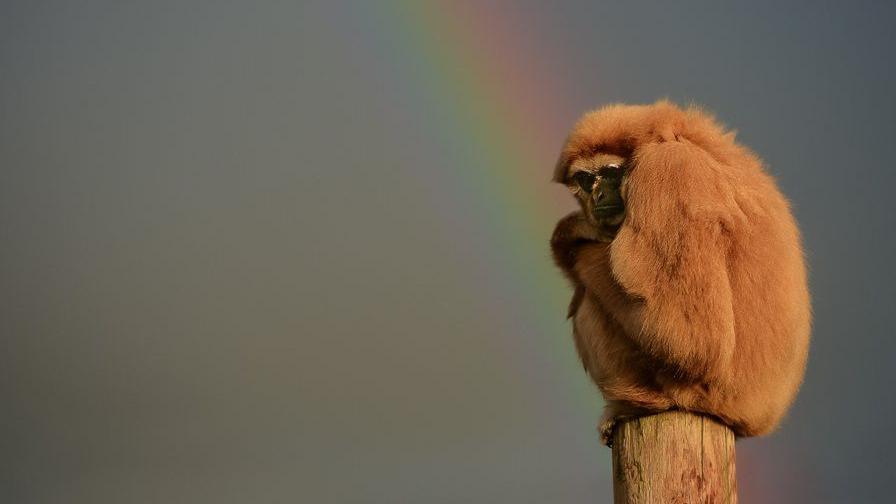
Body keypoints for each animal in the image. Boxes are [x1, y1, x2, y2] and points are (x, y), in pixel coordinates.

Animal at [550, 100, 811, 445]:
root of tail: (756, 417)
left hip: (685, 391)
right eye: (584, 179)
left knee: (590, 300)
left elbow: (692, 342)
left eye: (610, 173)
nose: (599, 195)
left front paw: (569, 236)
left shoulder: (668, 169)